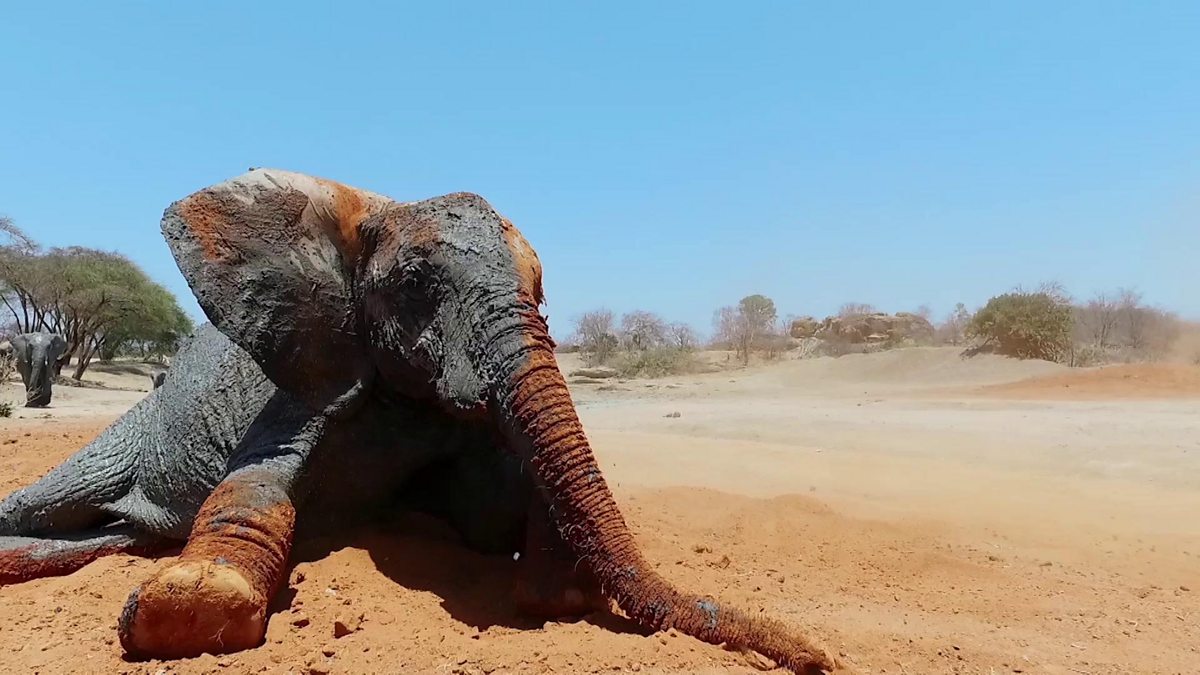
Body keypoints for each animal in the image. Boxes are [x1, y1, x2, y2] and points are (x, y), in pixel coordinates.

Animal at [0, 169, 836, 673]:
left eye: (541, 287)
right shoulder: (313, 368)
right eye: (415, 285)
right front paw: (193, 609)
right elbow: (257, 484)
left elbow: (491, 513)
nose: (818, 656)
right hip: (125, 433)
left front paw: (559, 589)